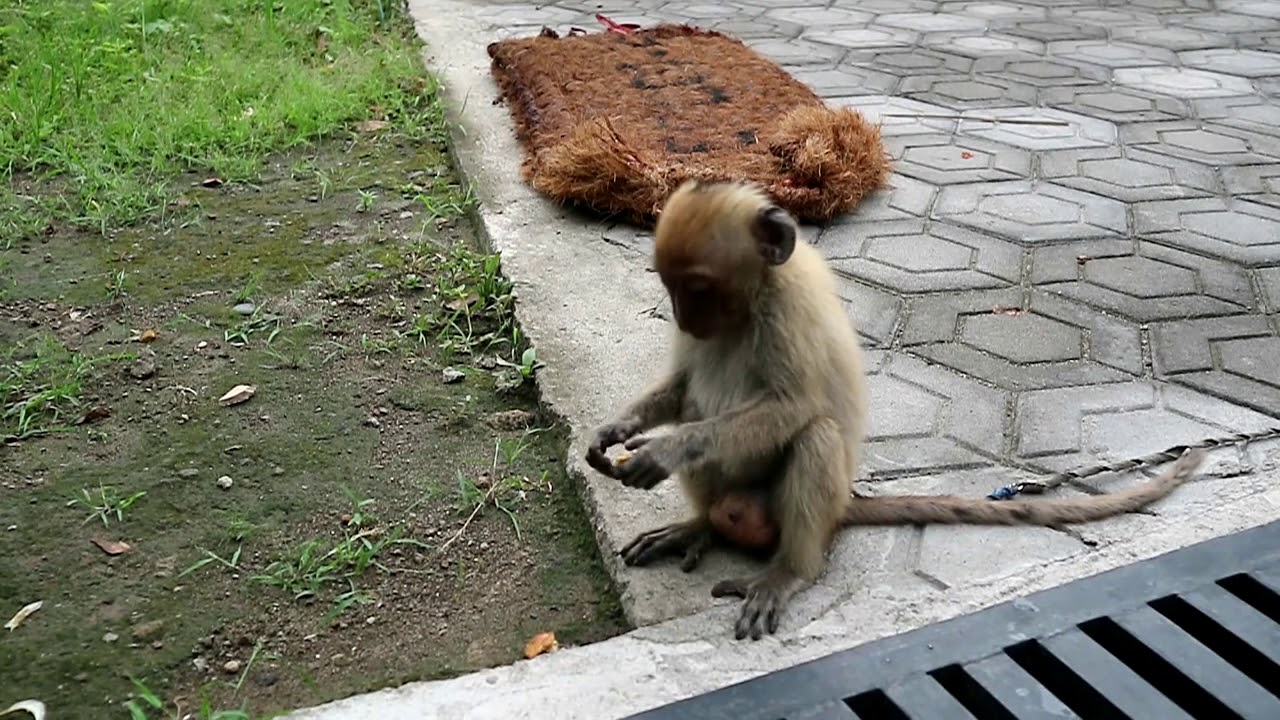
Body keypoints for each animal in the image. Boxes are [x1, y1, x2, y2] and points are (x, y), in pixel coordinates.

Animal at [585, 179, 1207, 641]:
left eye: (698, 288)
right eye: (672, 289)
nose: (684, 317)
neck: (751, 301)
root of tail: (841, 507)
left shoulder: (789, 311)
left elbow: (792, 408)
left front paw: (664, 449)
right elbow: (683, 391)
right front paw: (618, 429)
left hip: (798, 508)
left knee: (816, 434)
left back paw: (790, 570)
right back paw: (699, 526)